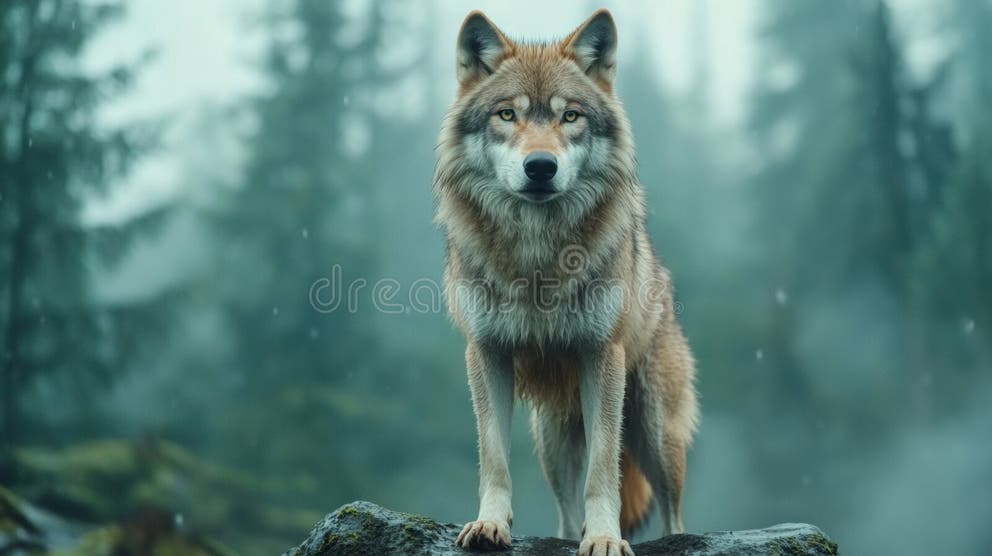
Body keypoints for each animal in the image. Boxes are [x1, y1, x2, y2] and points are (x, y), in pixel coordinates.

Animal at [433, 9, 699, 556]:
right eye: (507, 115)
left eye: (570, 116)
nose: (540, 166)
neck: (538, 257)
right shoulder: (486, 353)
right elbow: (493, 457)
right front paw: (489, 525)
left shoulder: (601, 355)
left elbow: (604, 471)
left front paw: (604, 538)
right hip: (553, 443)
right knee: (564, 510)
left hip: (654, 430)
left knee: (673, 512)